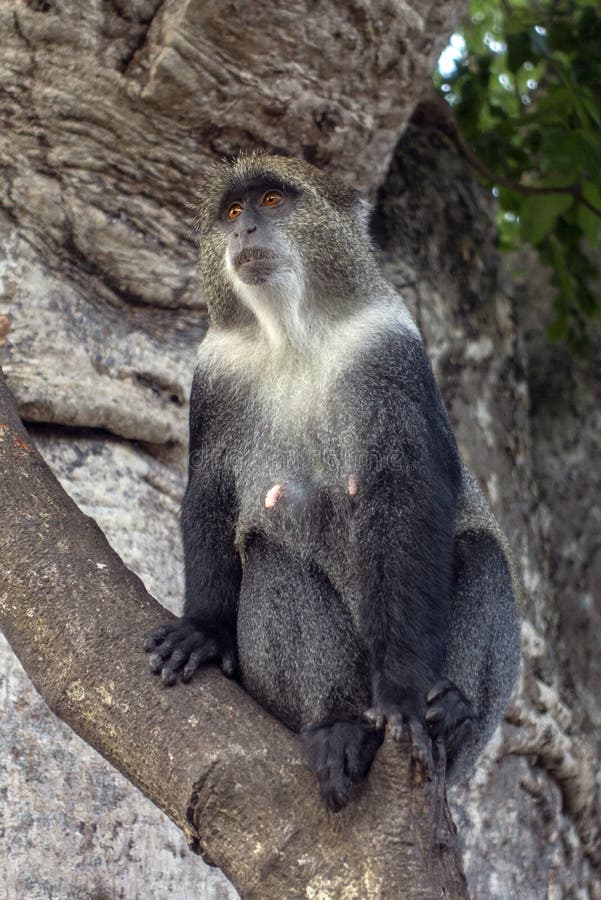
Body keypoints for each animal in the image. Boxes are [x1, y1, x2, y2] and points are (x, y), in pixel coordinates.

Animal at [144, 152, 521, 812]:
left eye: (272, 201)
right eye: (233, 211)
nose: (246, 231)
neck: (293, 335)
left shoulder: (387, 348)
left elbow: (406, 492)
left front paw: (405, 691)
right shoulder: (216, 374)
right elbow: (210, 495)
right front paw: (205, 630)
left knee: (481, 553)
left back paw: (449, 710)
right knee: (274, 559)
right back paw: (336, 725)